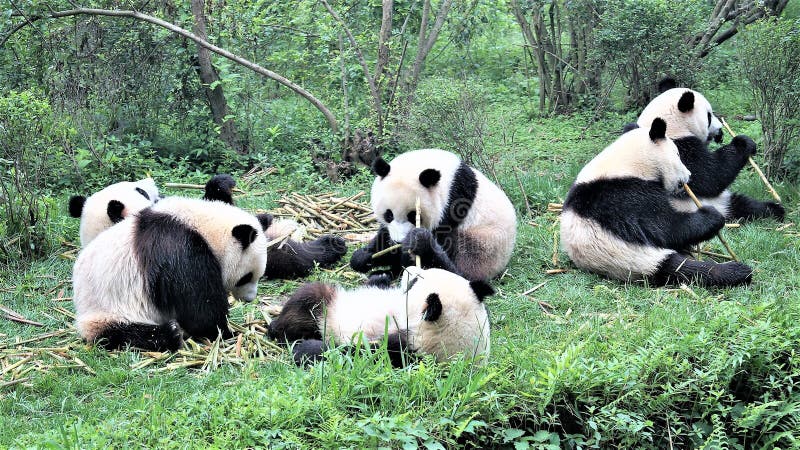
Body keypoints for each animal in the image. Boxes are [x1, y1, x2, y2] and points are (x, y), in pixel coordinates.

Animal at [72, 196, 267, 352]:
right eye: (246, 277)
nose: (250, 298)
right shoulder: (180, 249)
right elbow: (200, 309)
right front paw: (225, 331)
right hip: (109, 311)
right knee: (124, 334)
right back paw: (171, 334)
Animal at [267, 266, 493, 367]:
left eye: (414, 282)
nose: (408, 269)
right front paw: (381, 277)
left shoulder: (405, 352)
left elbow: (355, 356)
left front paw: (305, 350)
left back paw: (279, 330)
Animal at [349, 149, 517, 282]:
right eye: (388, 215)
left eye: (413, 215)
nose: (398, 240)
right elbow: (384, 236)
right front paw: (364, 257)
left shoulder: (454, 202)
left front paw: (414, 247)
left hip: (484, 245)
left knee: (460, 265)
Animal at [561, 117, 753, 287]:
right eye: (678, 154)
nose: (689, 176)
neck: (625, 163)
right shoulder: (623, 195)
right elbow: (666, 226)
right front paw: (711, 215)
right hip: (634, 254)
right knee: (686, 268)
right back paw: (738, 272)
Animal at [625, 87, 784, 222]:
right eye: (709, 116)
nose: (720, 130)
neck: (669, 127)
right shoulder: (676, 150)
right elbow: (711, 176)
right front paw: (744, 143)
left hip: (723, 200)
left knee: (744, 205)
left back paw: (774, 210)